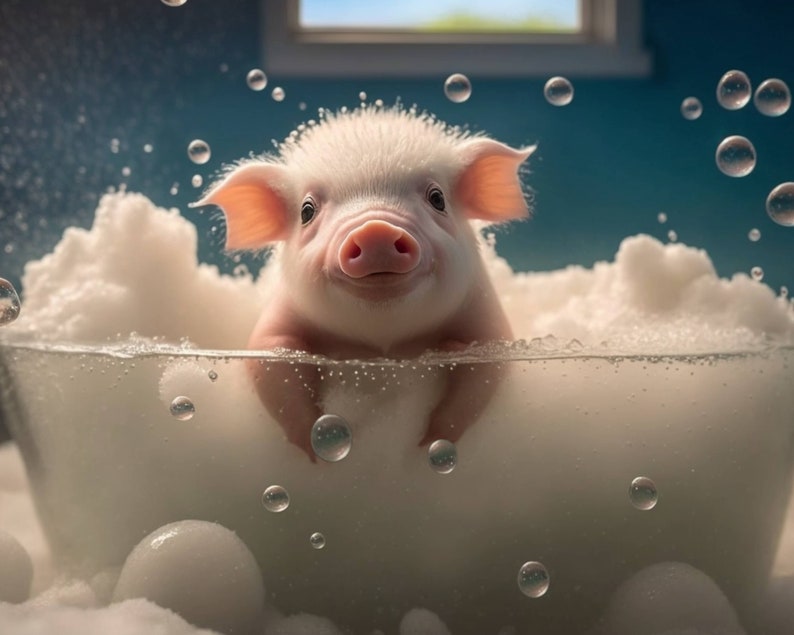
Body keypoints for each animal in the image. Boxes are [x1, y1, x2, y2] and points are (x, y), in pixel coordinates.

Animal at [194, 105, 534, 460]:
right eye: (306, 210)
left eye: (437, 198)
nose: (375, 231)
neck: (380, 348)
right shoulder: (277, 323)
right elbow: (272, 361)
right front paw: (317, 452)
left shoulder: (484, 317)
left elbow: (485, 370)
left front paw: (427, 442)